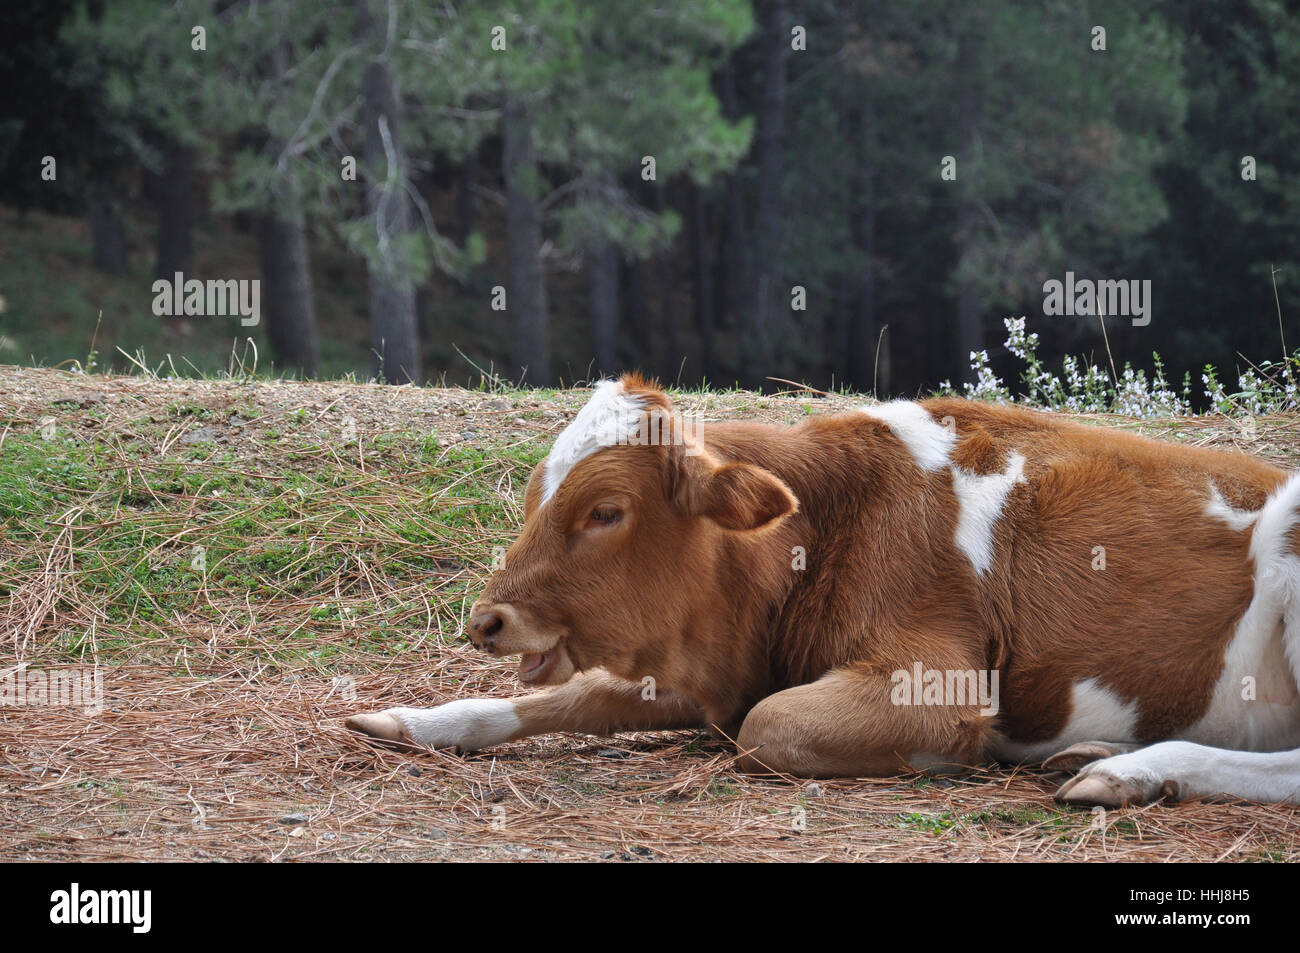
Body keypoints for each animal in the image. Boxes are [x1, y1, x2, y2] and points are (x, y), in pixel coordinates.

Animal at [346, 374, 1300, 807]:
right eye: (538, 492)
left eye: (606, 510)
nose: (488, 619)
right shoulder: (719, 668)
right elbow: (563, 699)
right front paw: (413, 721)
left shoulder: (933, 676)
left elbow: (769, 728)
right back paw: (1098, 755)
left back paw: (1133, 771)